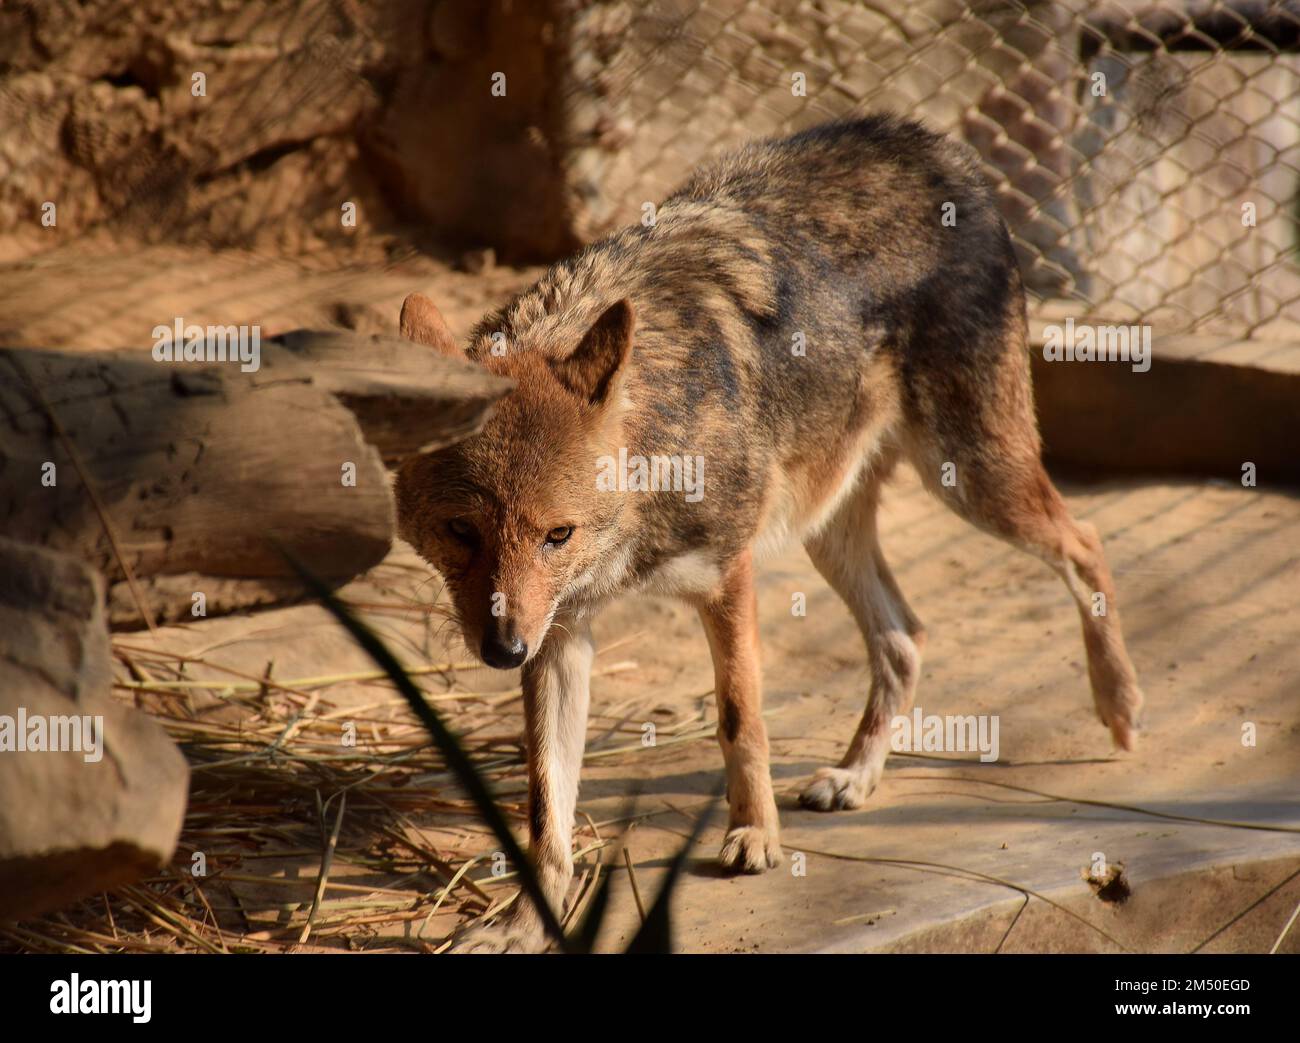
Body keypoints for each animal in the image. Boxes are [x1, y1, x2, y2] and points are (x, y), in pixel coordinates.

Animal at [394, 114, 1144, 952]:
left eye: (558, 534)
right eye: (461, 530)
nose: (502, 650)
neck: (655, 440)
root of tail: (933, 142)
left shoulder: (728, 574)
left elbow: (740, 718)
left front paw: (754, 836)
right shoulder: (560, 633)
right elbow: (544, 807)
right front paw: (524, 924)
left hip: (975, 481)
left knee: (1086, 544)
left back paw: (1119, 705)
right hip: (830, 527)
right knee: (906, 635)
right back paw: (856, 775)